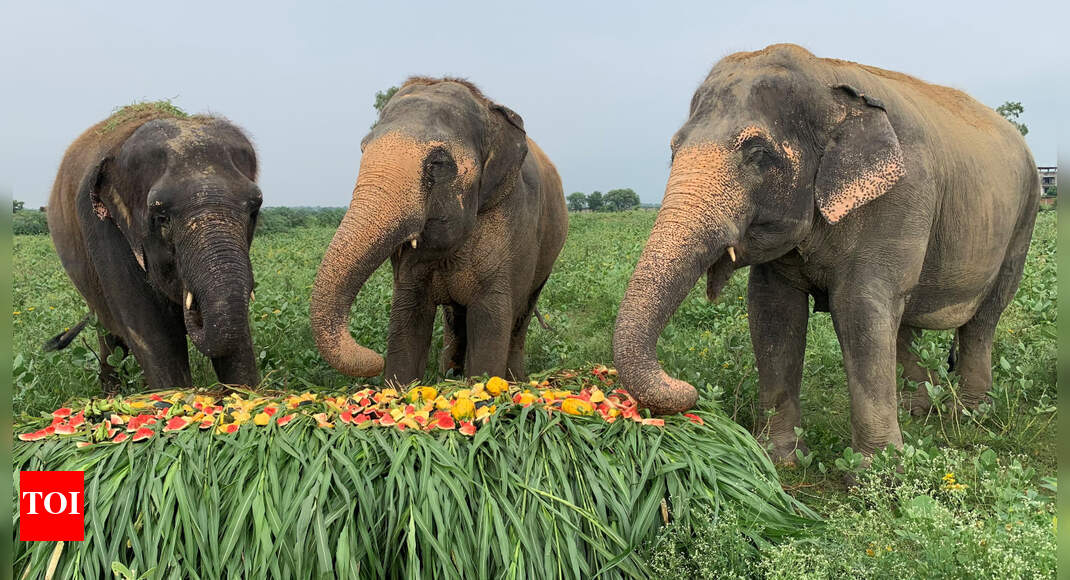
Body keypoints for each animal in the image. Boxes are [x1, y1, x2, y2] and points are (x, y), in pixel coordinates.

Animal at [46, 104, 262, 392]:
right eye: (161, 217)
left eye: (254, 210)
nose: (190, 311)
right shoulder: (104, 228)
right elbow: (155, 339)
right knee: (109, 334)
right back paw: (112, 393)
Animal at [310, 77, 568, 385]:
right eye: (362, 150)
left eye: (438, 163)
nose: (374, 358)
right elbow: (408, 314)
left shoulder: (514, 222)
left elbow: (491, 320)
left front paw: (484, 386)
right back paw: (451, 374)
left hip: (546, 259)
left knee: (520, 316)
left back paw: (515, 380)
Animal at [612, 44, 1039, 462]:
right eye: (673, 150)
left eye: (757, 152)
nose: (689, 390)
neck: (825, 78)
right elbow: (772, 312)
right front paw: (780, 458)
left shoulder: (900, 198)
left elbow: (859, 309)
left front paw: (876, 472)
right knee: (905, 320)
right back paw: (917, 409)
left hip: (1024, 217)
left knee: (983, 317)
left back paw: (968, 413)